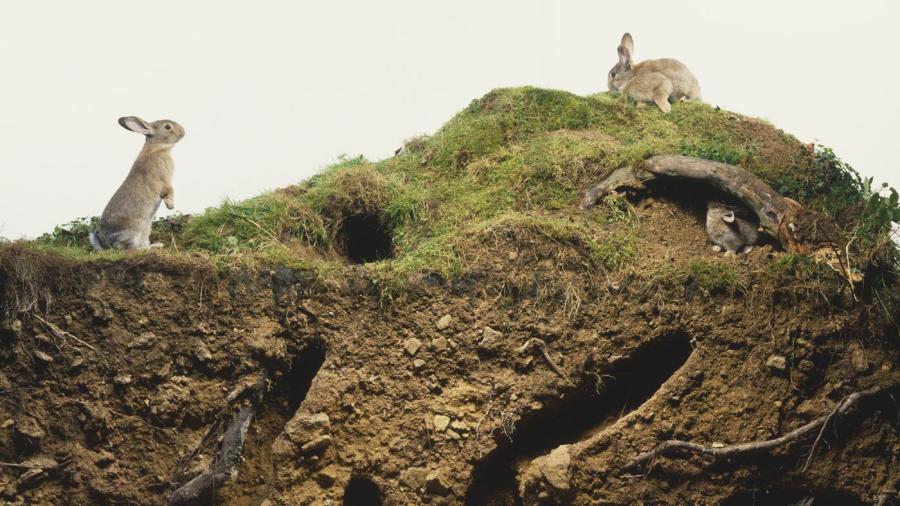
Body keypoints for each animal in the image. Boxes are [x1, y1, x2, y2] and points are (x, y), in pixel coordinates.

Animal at [89, 116, 185, 251]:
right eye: (167, 127)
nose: (183, 131)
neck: (157, 147)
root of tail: (106, 243)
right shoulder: (164, 181)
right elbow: (169, 191)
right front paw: (171, 206)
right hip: (134, 230)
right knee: (128, 249)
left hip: (146, 229)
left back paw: (156, 245)